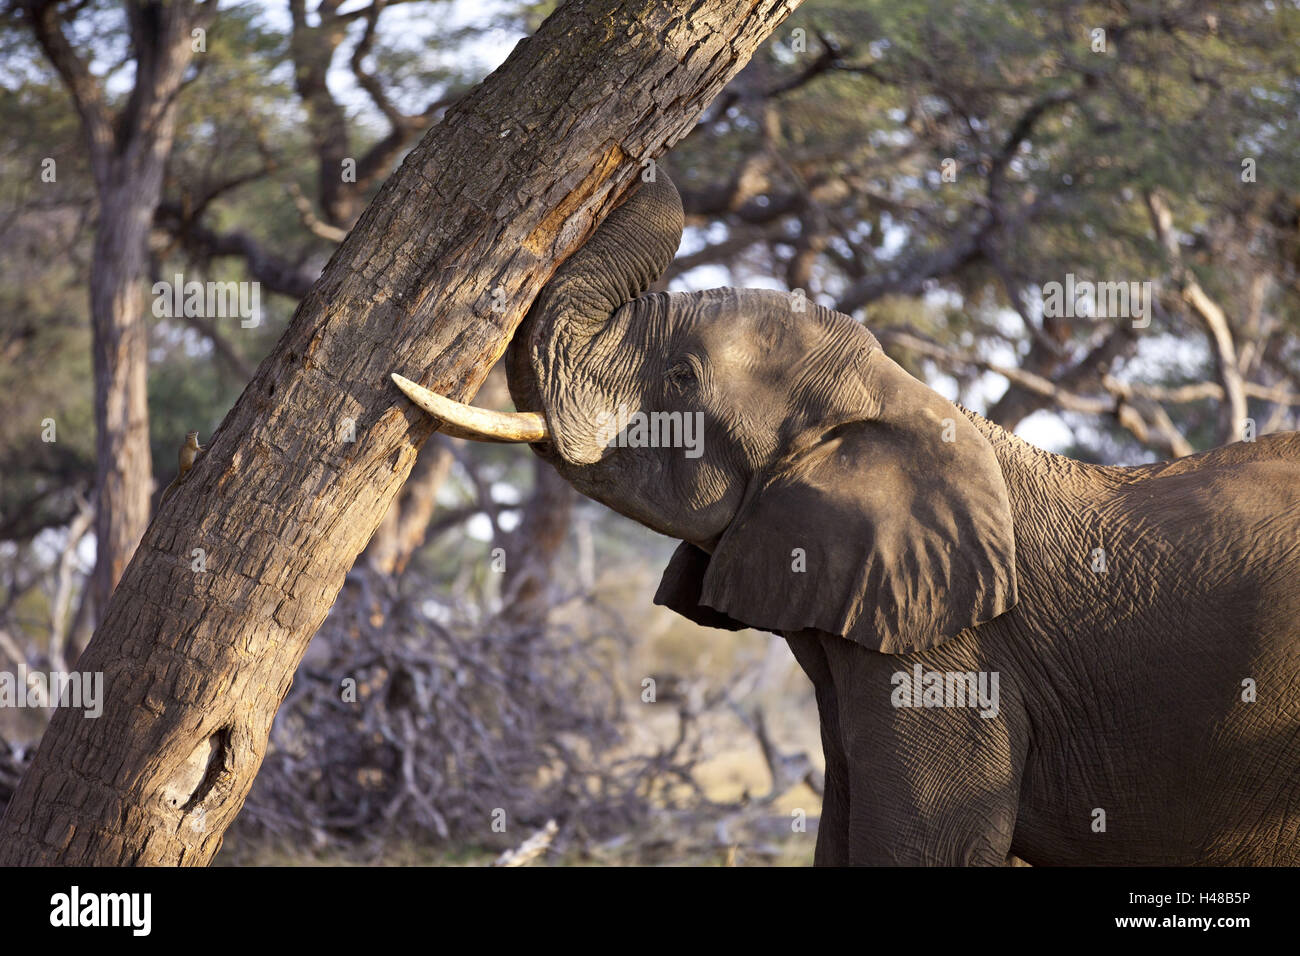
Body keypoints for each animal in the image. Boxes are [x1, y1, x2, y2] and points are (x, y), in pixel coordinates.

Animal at [392, 169, 1300, 866]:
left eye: (681, 379)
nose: (647, 158)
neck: (896, 397)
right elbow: (840, 824)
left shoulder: (955, 649)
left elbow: (921, 846)